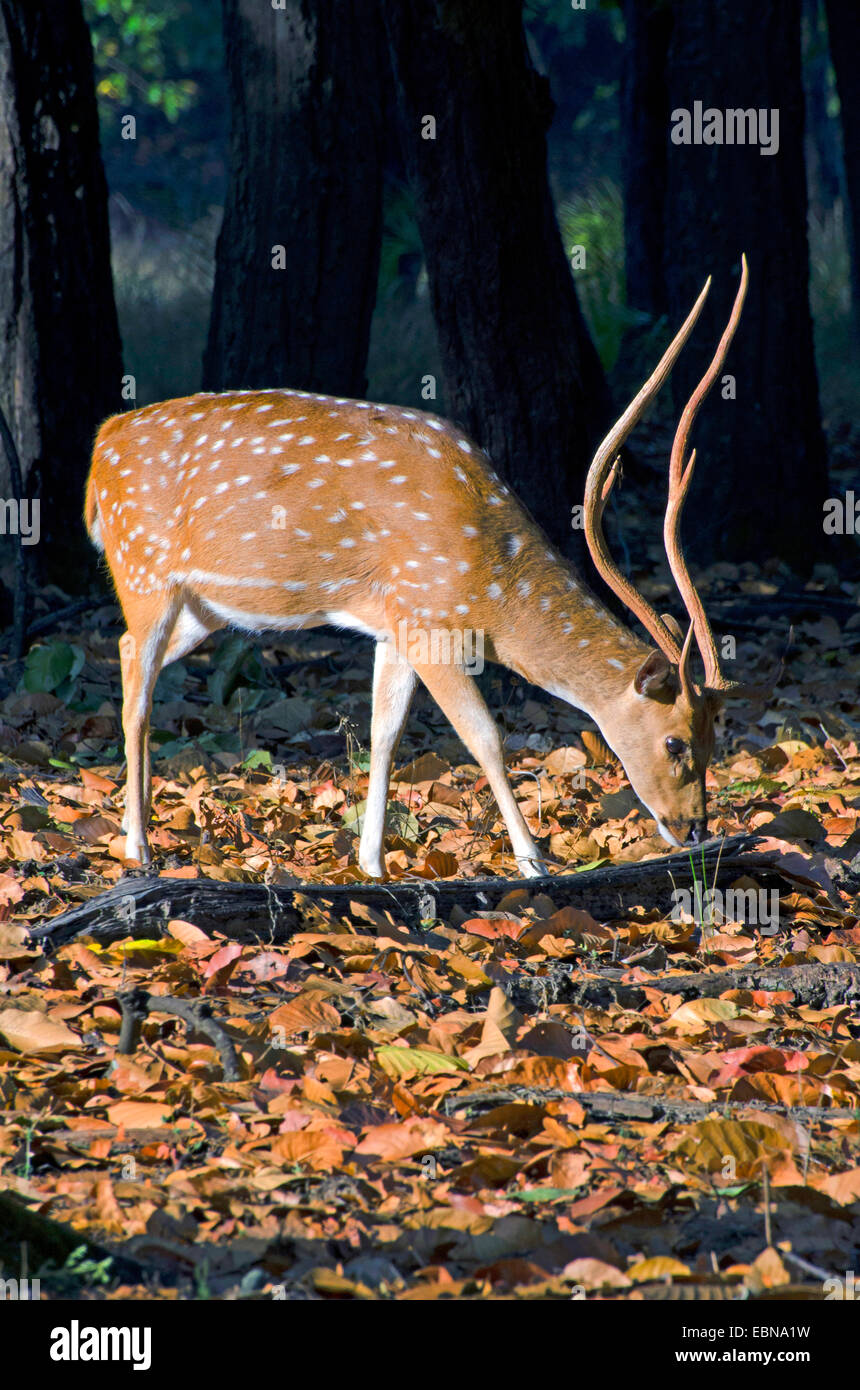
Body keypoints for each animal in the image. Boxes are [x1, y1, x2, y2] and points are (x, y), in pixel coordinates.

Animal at [85, 256, 768, 878]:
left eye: (717, 736)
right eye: (675, 740)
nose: (693, 828)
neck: (493, 587)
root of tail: (99, 449)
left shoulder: (396, 625)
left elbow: (384, 734)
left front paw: (372, 864)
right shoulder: (432, 617)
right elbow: (485, 737)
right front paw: (533, 864)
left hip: (203, 608)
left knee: (123, 653)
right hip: (144, 571)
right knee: (136, 682)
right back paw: (138, 848)